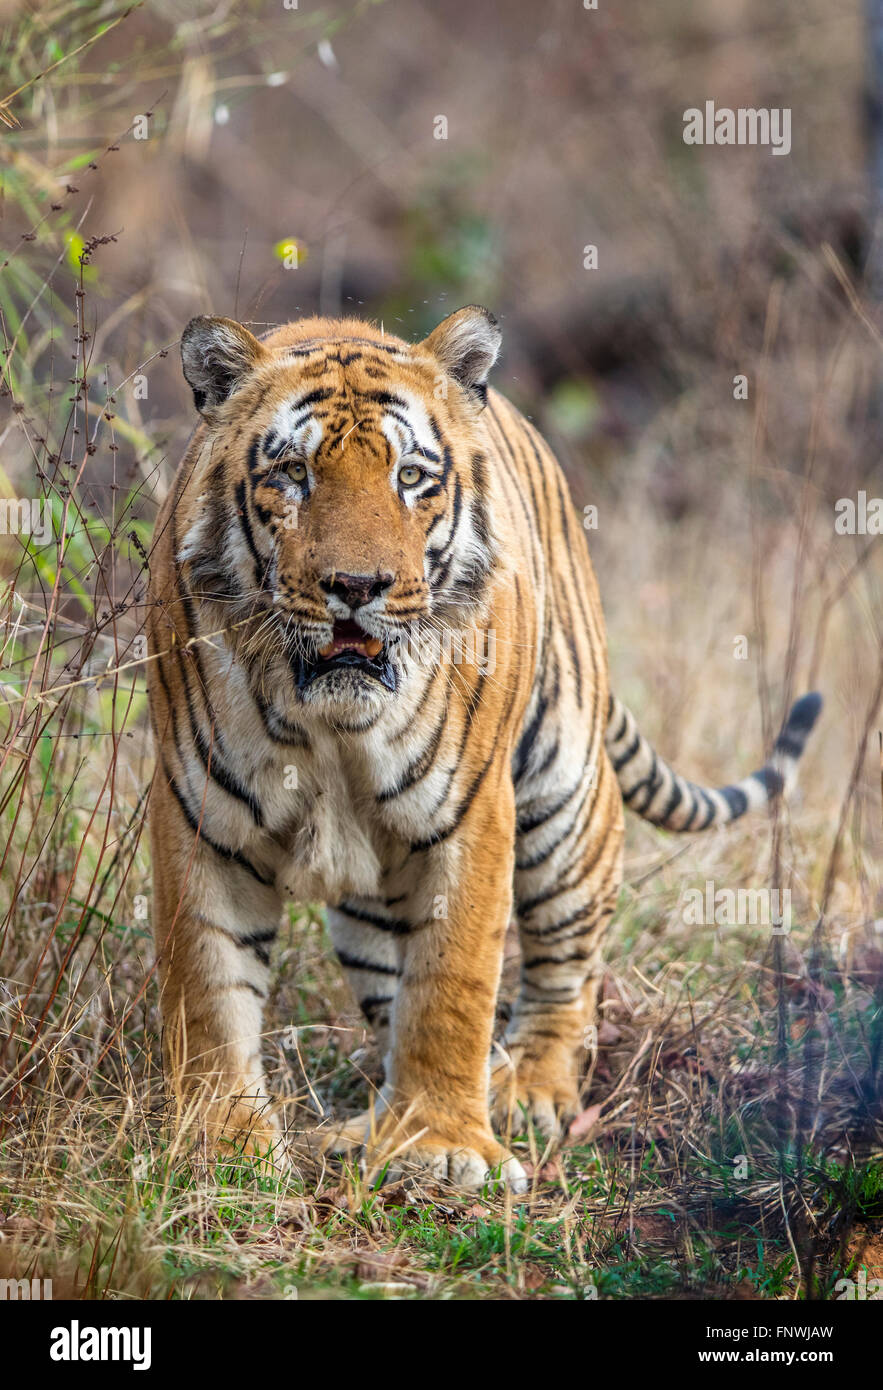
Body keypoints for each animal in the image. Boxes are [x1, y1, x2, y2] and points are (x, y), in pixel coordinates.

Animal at [145, 305, 821, 1192]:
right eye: (291, 473)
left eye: (410, 477)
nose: (355, 588)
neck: (331, 724)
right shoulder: (201, 816)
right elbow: (207, 986)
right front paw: (218, 1144)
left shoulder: (469, 814)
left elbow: (452, 986)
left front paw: (442, 1146)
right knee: (386, 983)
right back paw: (363, 1132)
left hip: (563, 794)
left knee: (566, 967)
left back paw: (524, 1091)